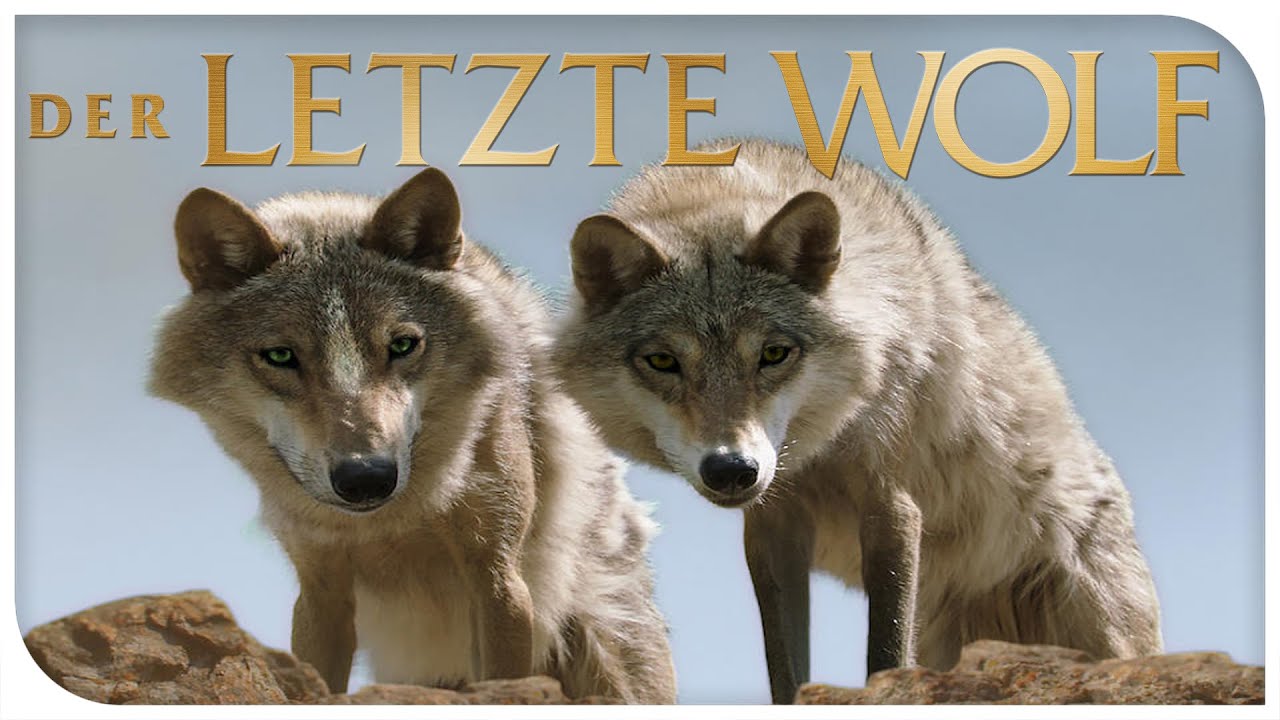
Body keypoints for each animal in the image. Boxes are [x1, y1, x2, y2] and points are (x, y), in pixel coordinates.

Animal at [148, 168, 676, 703]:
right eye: (280, 356)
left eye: (402, 345)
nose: (366, 477)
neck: (392, 523)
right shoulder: (320, 591)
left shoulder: (498, 580)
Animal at [553, 139, 1163, 703]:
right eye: (663, 361)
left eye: (773, 354)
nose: (731, 470)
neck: (825, 443)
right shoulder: (773, 527)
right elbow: (786, 670)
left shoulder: (892, 507)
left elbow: (884, 653)